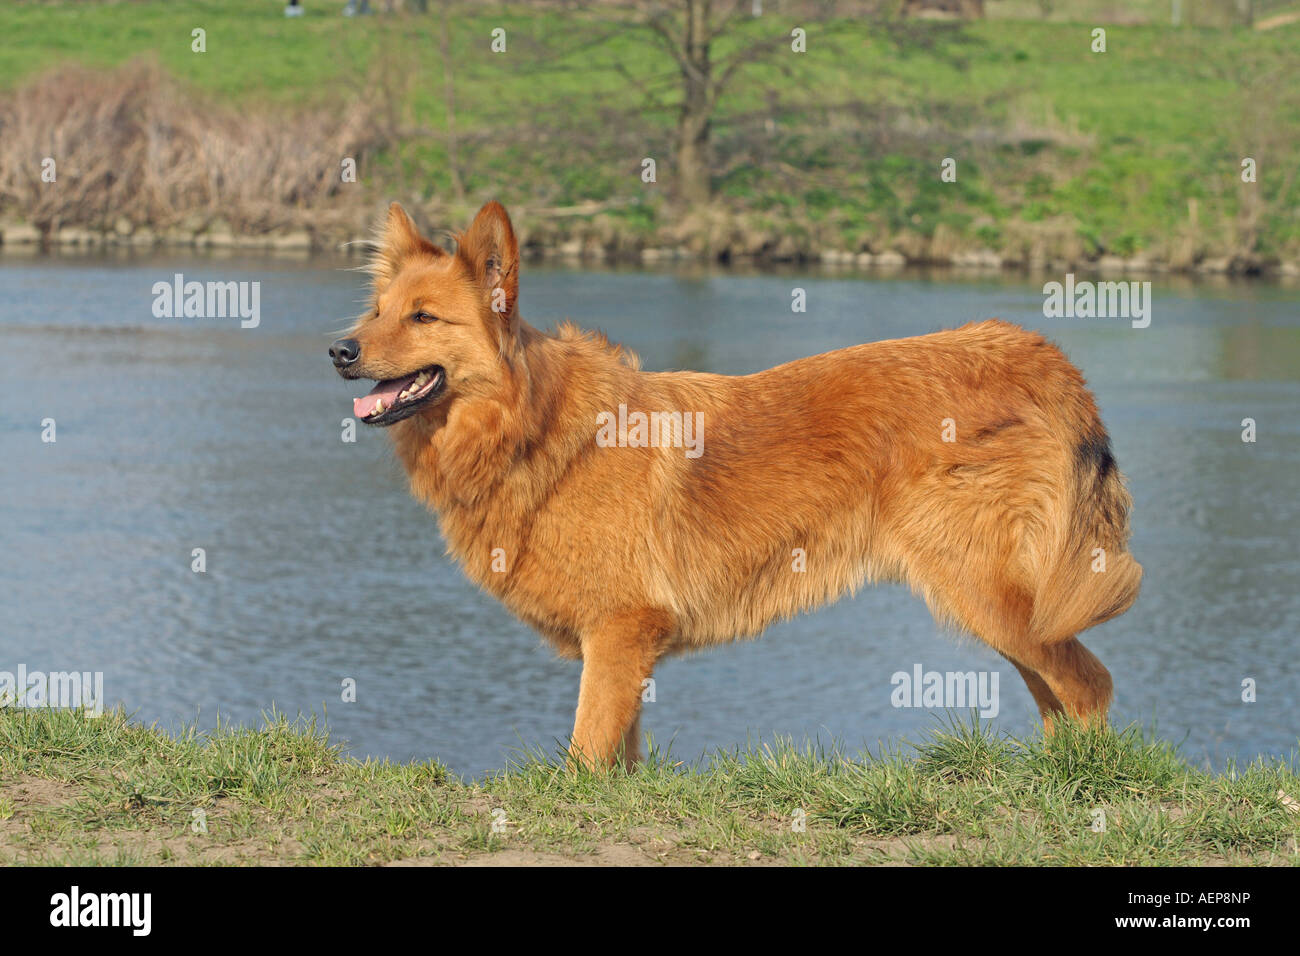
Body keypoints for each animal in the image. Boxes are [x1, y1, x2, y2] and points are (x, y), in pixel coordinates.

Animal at [330, 200, 1142, 770]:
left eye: (424, 317)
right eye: (376, 311)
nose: (339, 350)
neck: (537, 427)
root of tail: (1032, 350)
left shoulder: (617, 632)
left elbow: (584, 757)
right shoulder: (624, 654)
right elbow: (617, 761)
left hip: (987, 591)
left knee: (1089, 686)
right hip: (1010, 605)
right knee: (1058, 694)